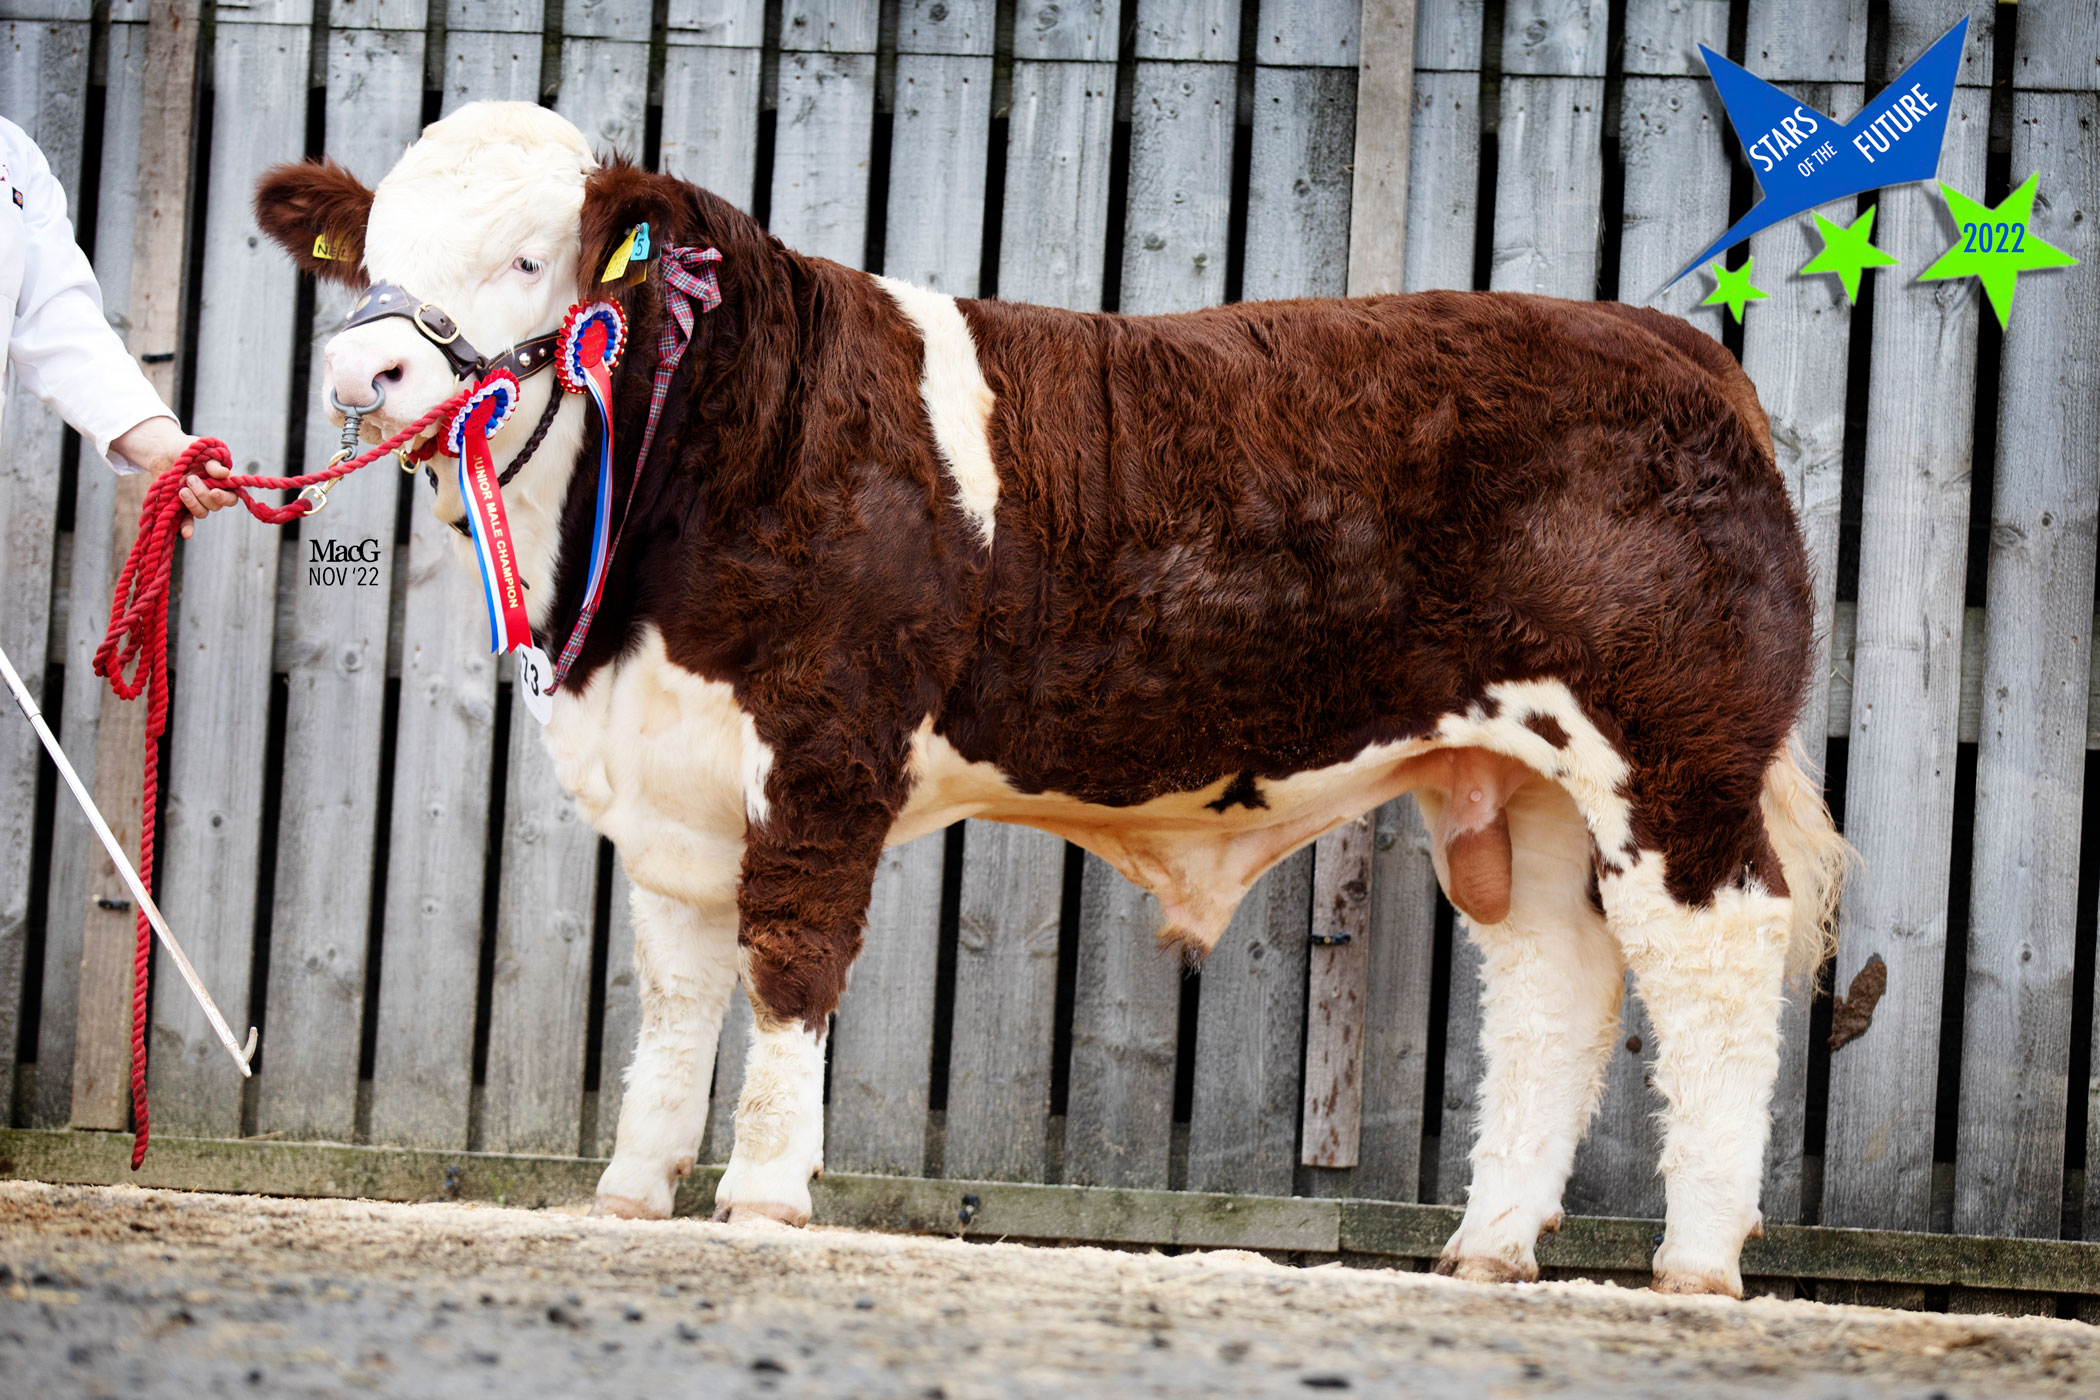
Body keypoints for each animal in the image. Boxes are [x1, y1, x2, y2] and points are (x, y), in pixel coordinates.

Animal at [254, 101, 1848, 1298]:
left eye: (531, 258)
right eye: (369, 255)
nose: (365, 372)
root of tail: (1681, 350)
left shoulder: (827, 746)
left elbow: (788, 961)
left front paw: (765, 1193)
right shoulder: (669, 775)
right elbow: (681, 985)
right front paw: (634, 1193)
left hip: (1674, 753)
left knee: (1713, 956)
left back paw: (1700, 1259)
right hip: (1523, 779)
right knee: (1559, 978)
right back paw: (1491, 1246)